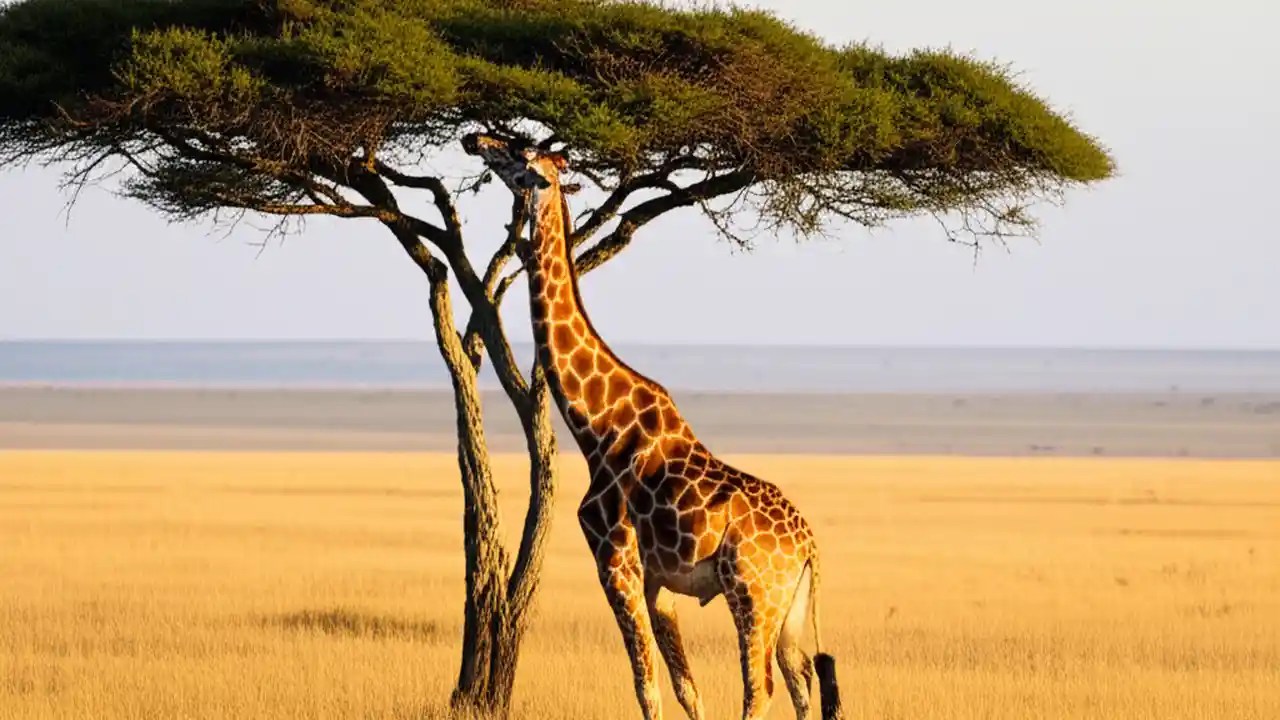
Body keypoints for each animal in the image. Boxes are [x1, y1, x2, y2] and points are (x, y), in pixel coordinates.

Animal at [462, 132, 844, 720]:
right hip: (791, 606)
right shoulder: (658, 580)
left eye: (516, 155)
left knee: (760, 687)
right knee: (801, 681)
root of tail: (809, 547)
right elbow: (687, 688)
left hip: (752, 593)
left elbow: (647, 685)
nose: (474, 138)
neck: (595, 427)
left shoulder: (615, 559)